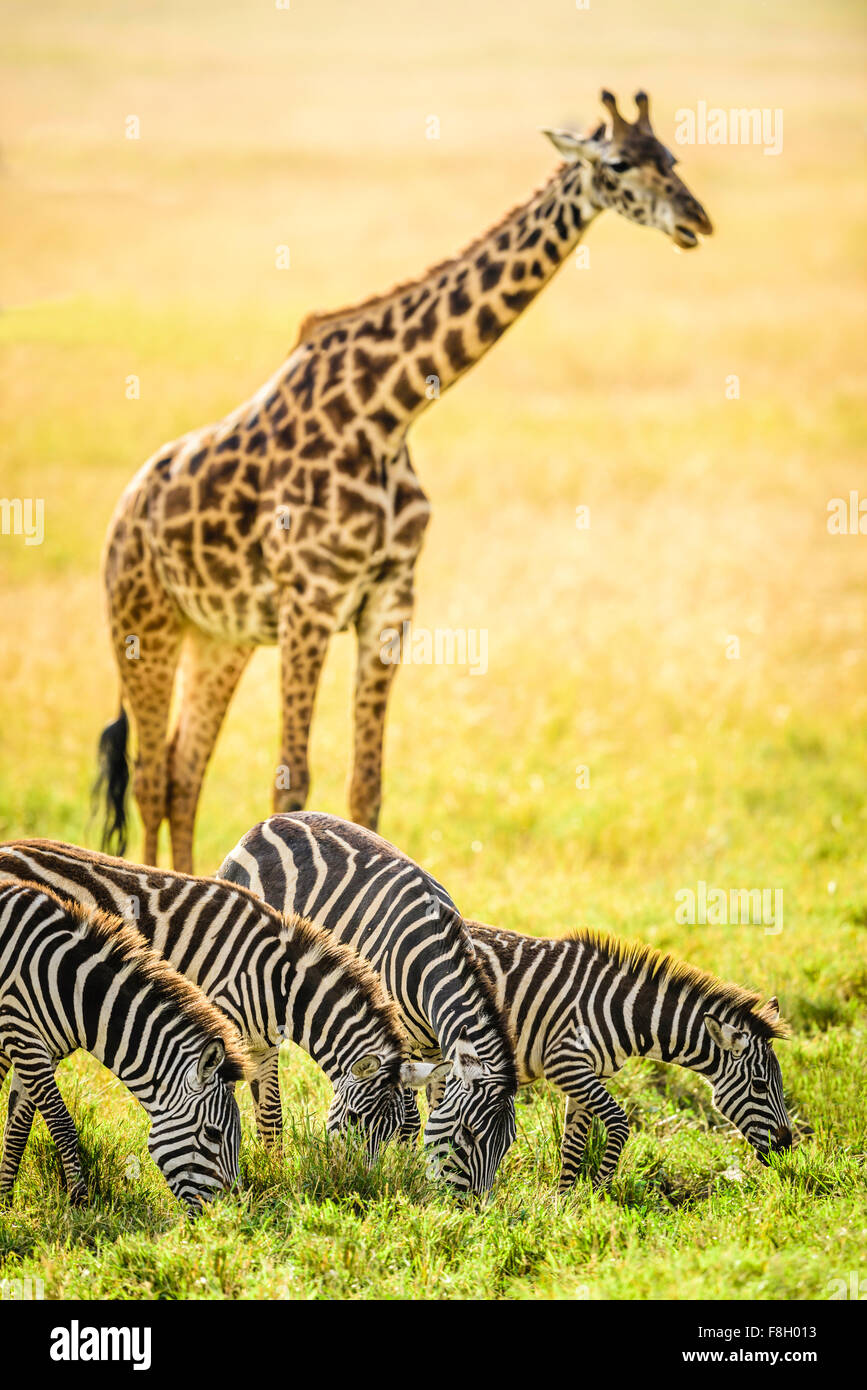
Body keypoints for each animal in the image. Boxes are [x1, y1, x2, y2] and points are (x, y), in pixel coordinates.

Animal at [0, 840, 444, 1164]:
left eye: (389, 1134)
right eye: (352, 1119)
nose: (356, 1180)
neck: (276, 979)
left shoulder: (261, 1045)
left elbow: (271, 1116)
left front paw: (275, 1176)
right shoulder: (219, 1033)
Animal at [0, 879, 245, 1212]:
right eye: (213, 1133)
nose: (227, 1215)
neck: (73, 988)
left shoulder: (39, 1050)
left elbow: (17, 1127)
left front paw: (4, 1201)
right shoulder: (21, 1034)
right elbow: (62, 1123)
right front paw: (80, 1202)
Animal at [95, 90, 713, 872]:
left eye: (673, 157)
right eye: (619, 164)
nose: (697, 220)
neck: (387, 413)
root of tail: (124, 512)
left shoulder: (389, 602)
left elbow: (367, 783)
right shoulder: (311, 602)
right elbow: (291, 780)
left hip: (218, 638)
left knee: (182, 773)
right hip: (144, 626)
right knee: (149, 778)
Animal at [216, 812, 518, 1198]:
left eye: (507, 1144)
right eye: (467, 1134)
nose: (472, 1207)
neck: (430, 955)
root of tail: (269, 821)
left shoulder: (436, 1048)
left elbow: (435, 1107)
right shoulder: (401, 1040)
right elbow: (410, 1120)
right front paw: (407, 1172)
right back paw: (273, 1166)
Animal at [467, 920, 793, 1190]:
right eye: (760, 1085)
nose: (787, 1145)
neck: (624, 1012)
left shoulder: (589, 1075)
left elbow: (573, 1144)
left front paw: (566, 1206)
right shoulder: (565, 1063)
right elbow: (620, 1124)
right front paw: (598, 1192)